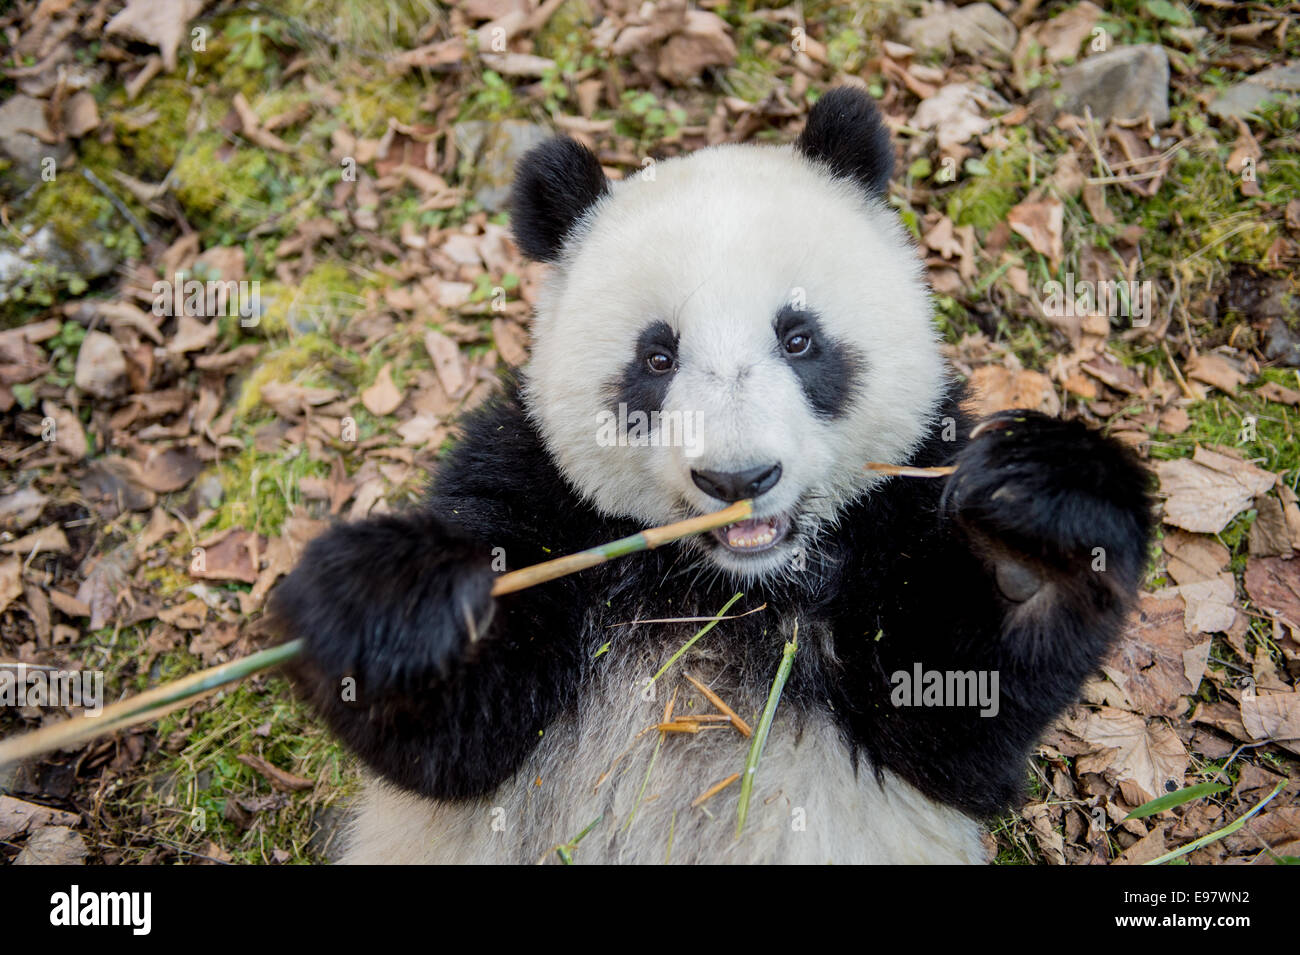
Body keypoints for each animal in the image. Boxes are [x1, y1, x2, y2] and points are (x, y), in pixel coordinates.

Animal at [271, 87, 1153, 864]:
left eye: (798, 338)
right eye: (657, 357)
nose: (738, 477)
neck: (727, 586)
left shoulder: (903, 501)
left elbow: (955, 718)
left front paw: (1033, 540)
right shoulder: (533, 487)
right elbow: (457, 744)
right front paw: (395, 606)